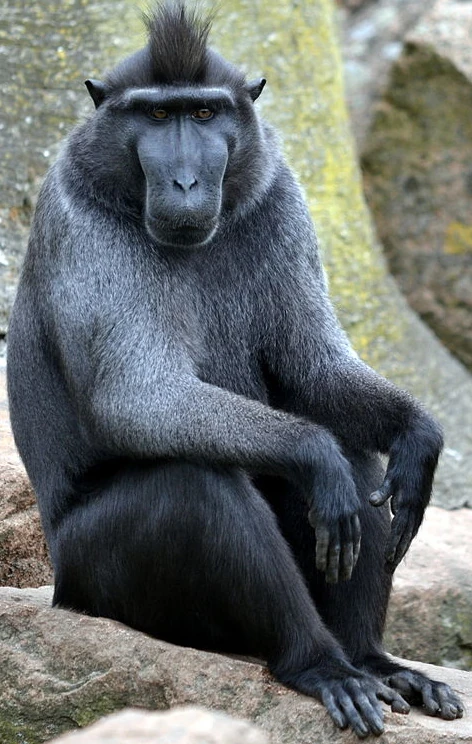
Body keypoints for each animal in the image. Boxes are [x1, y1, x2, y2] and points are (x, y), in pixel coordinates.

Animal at [7, 2, 463, 738]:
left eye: (203, 113)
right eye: (157, 116)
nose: (187, 183)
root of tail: (58, 586)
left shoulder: (281, 196)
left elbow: (313, 370)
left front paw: (419, 438)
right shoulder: (82, 223)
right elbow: (136, 398)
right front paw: (313, 452)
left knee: (359, 457)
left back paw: (372, 660)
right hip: (92, 577)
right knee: (200, 485)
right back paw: (320, 664)